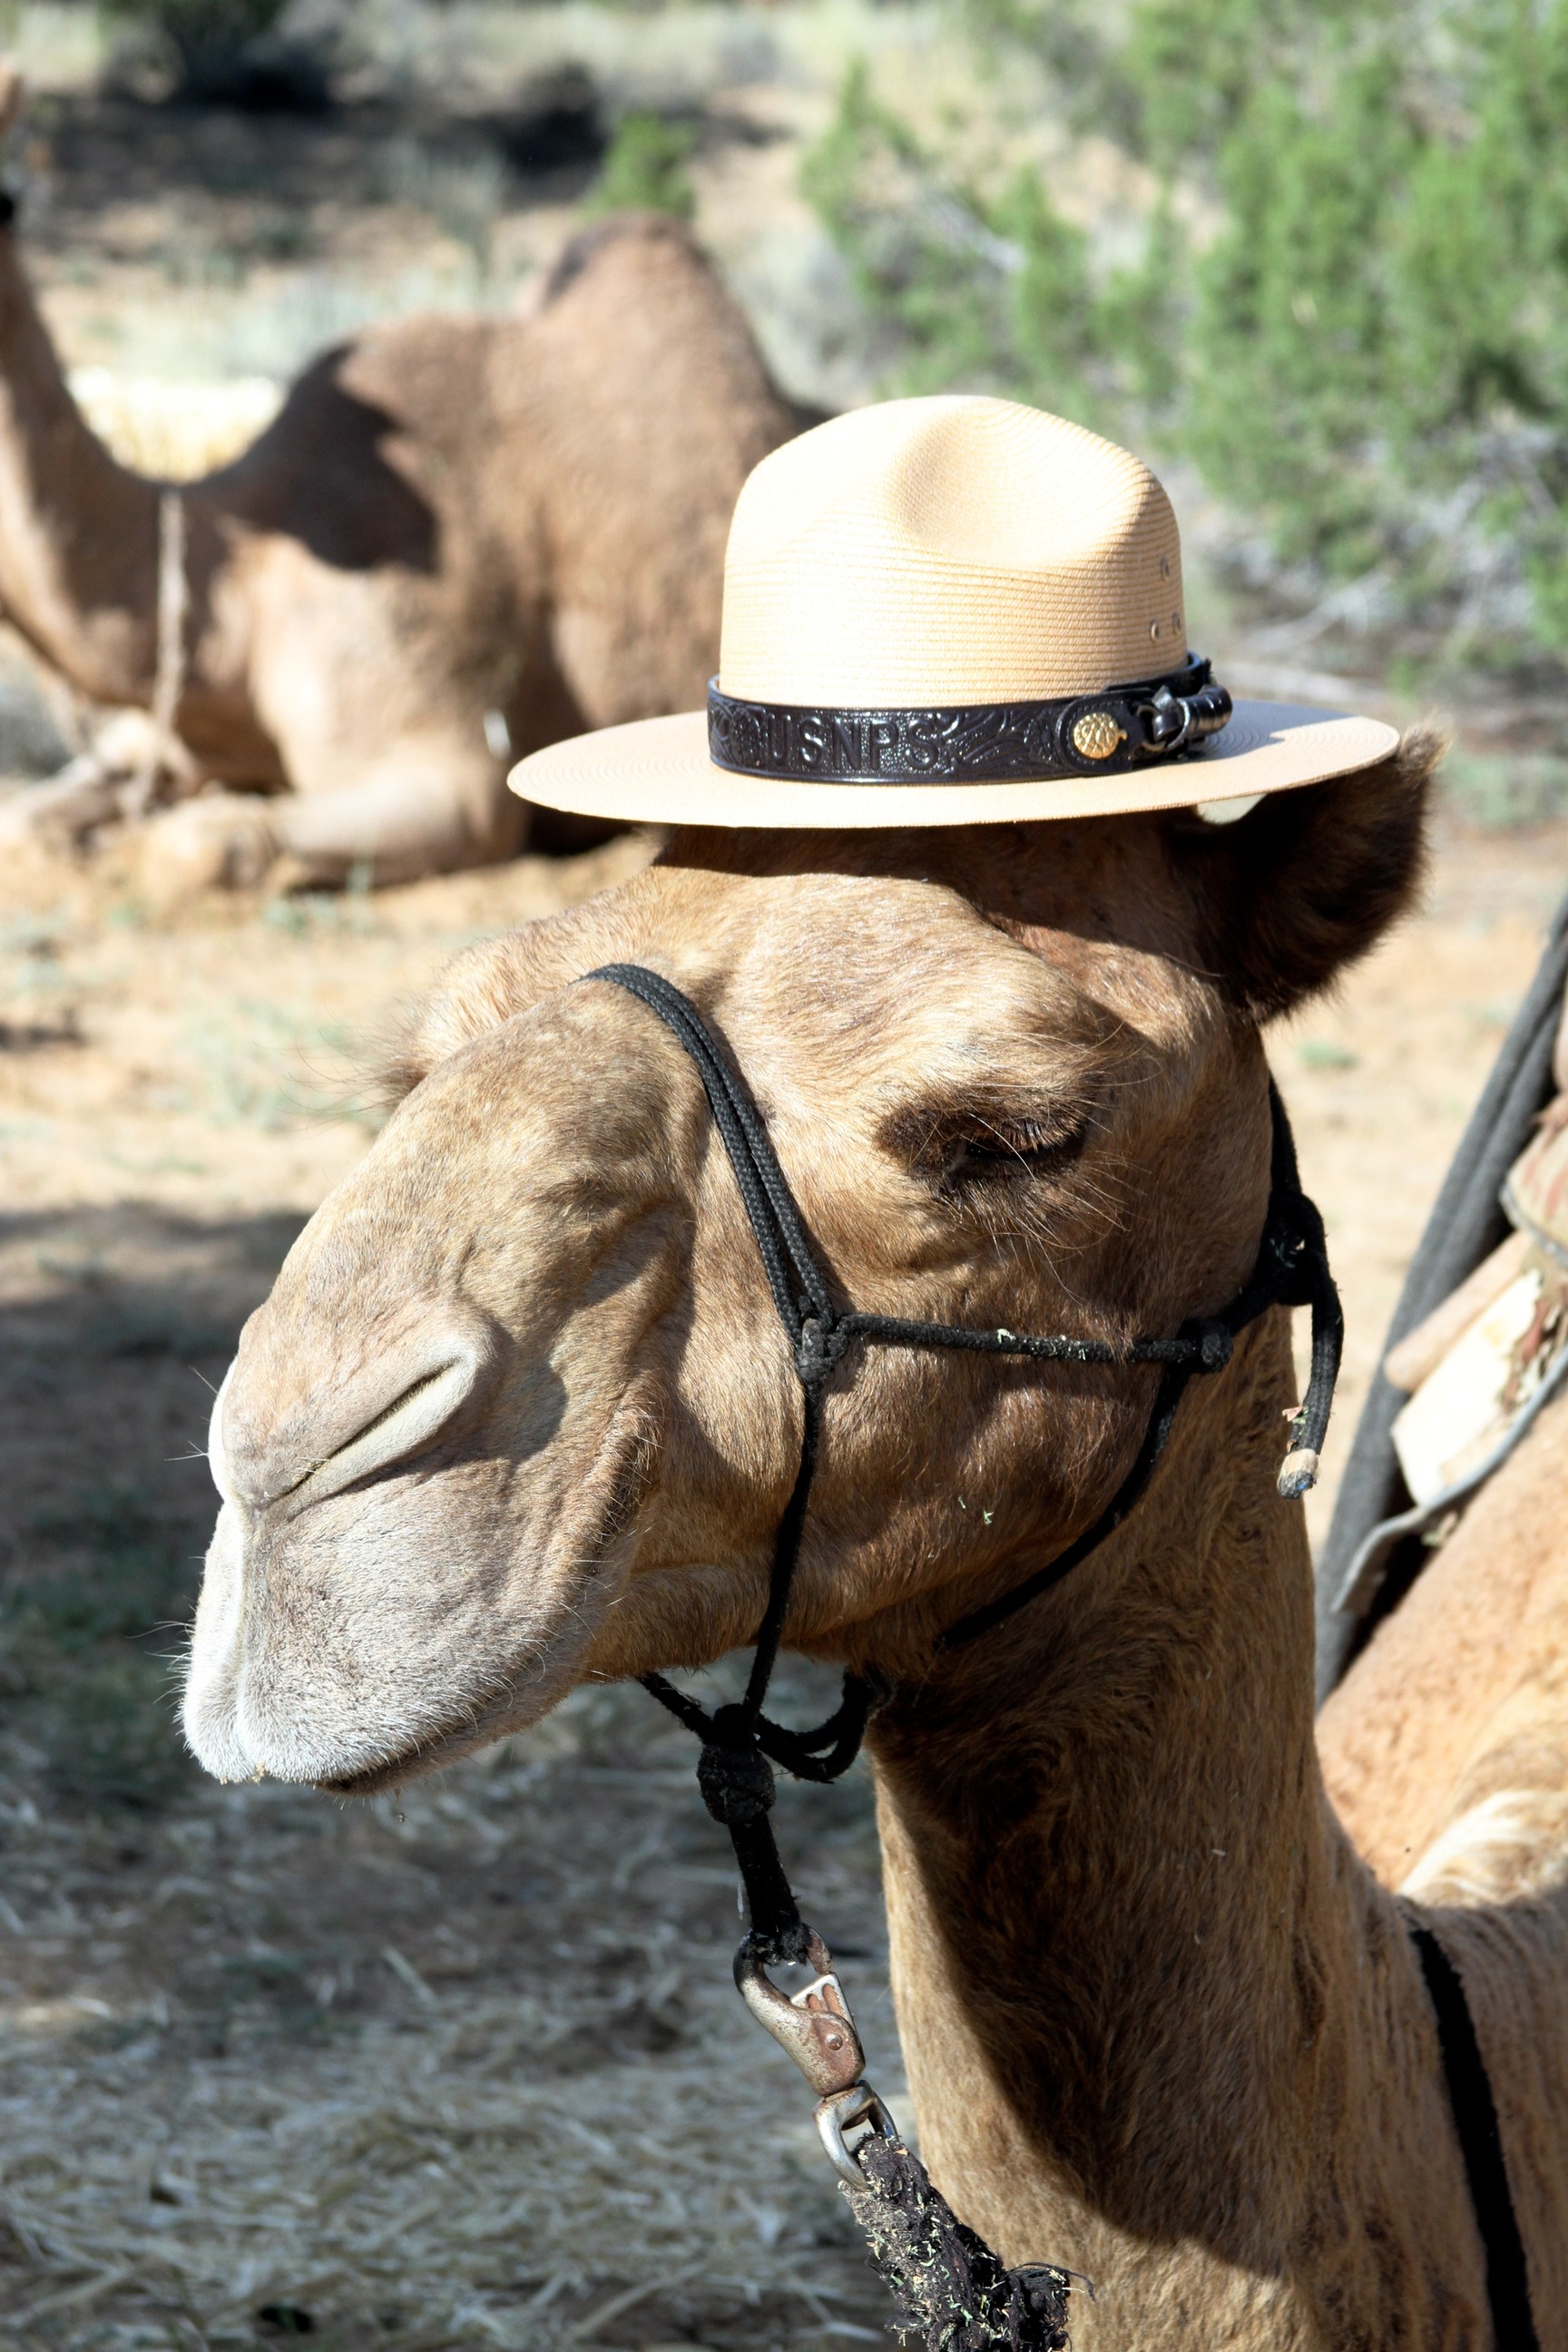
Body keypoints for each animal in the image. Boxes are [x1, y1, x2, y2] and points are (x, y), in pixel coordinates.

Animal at [0, 136, 798, 889]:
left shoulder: (455, 770)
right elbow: (22, 822)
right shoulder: (165, 735)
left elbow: (196, 844)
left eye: (10, 200)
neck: (235, 606)